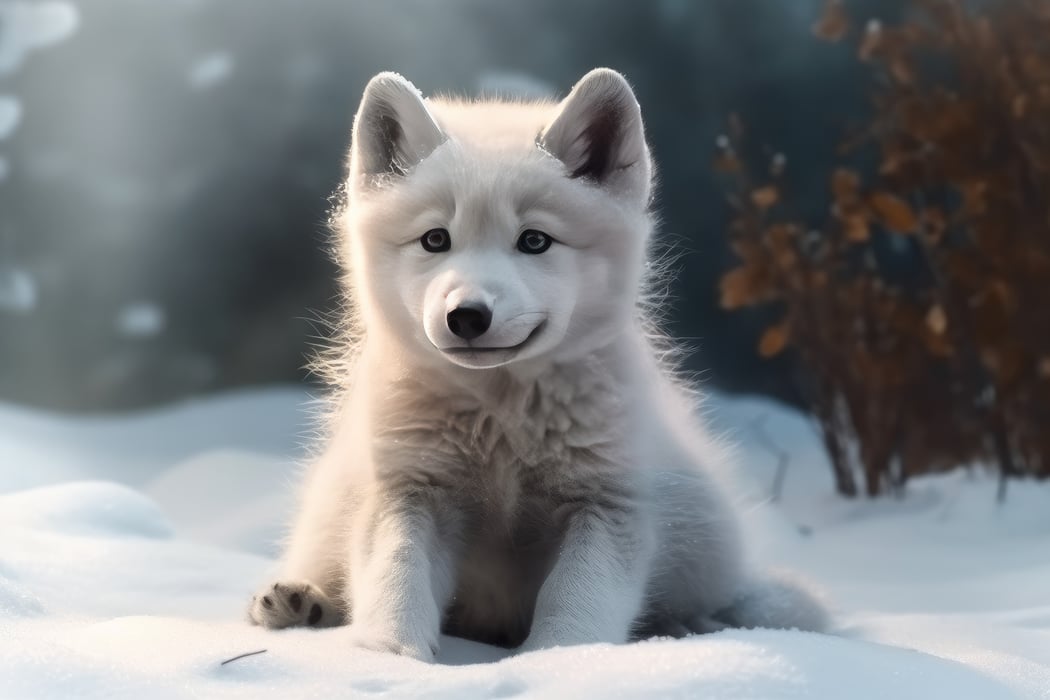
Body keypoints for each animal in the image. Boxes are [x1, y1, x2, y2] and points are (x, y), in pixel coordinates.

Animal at [248, 68, 828, 660]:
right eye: (435, 239)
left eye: (534, 241)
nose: (467, 316)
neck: (501, 420)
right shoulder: (410, 494)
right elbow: (397, 583)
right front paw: (393, 659)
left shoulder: (604, 507)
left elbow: (575, 605)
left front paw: (559, 661)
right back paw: (301, 604)